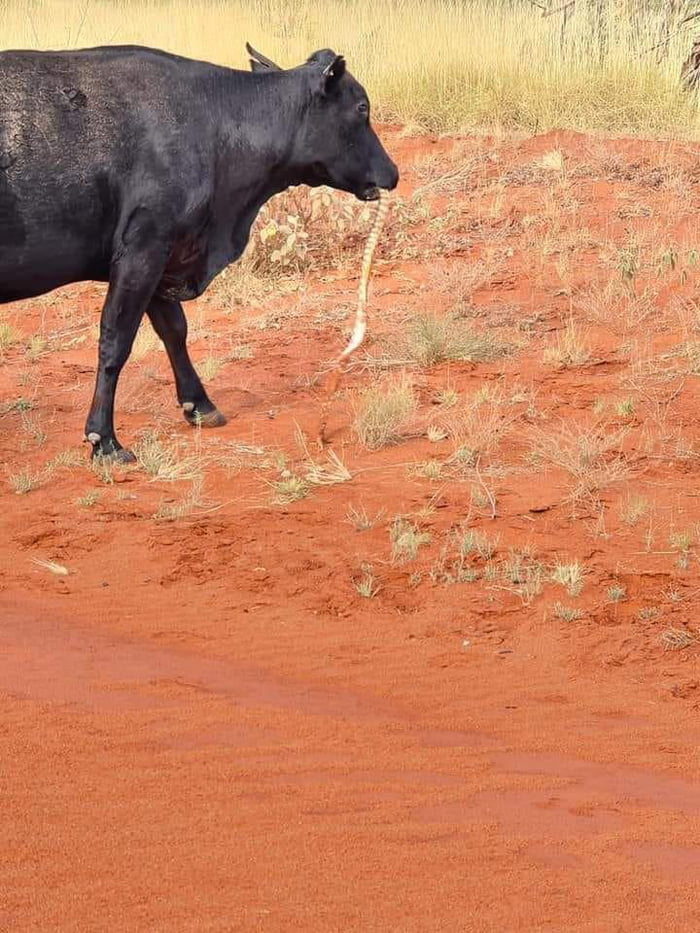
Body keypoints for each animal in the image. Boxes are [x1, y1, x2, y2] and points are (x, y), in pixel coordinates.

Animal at [0, 42, 399, 461]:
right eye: (362, 108)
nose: (393, 172)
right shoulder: (144, 248)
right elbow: (116, 340)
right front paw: (103, 438)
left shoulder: (162, 254)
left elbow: (174, 330)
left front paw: (200, 405)